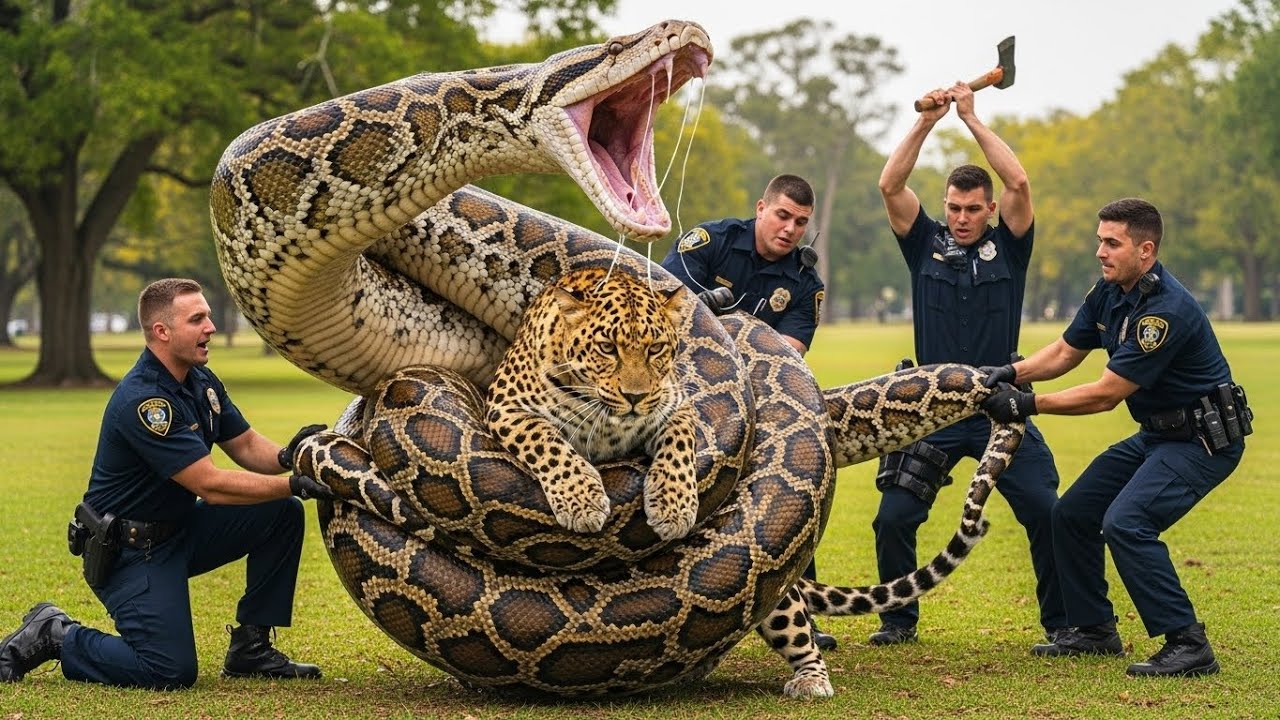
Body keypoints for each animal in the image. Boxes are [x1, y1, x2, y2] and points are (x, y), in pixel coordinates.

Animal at [485, 266, 700, 541]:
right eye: (607, 348)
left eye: (656, 348)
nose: (635, 397)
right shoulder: (505, 404)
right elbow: (545, 440)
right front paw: (582, 499)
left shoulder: (677, 404)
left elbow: (679, 445)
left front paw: (674, 505)